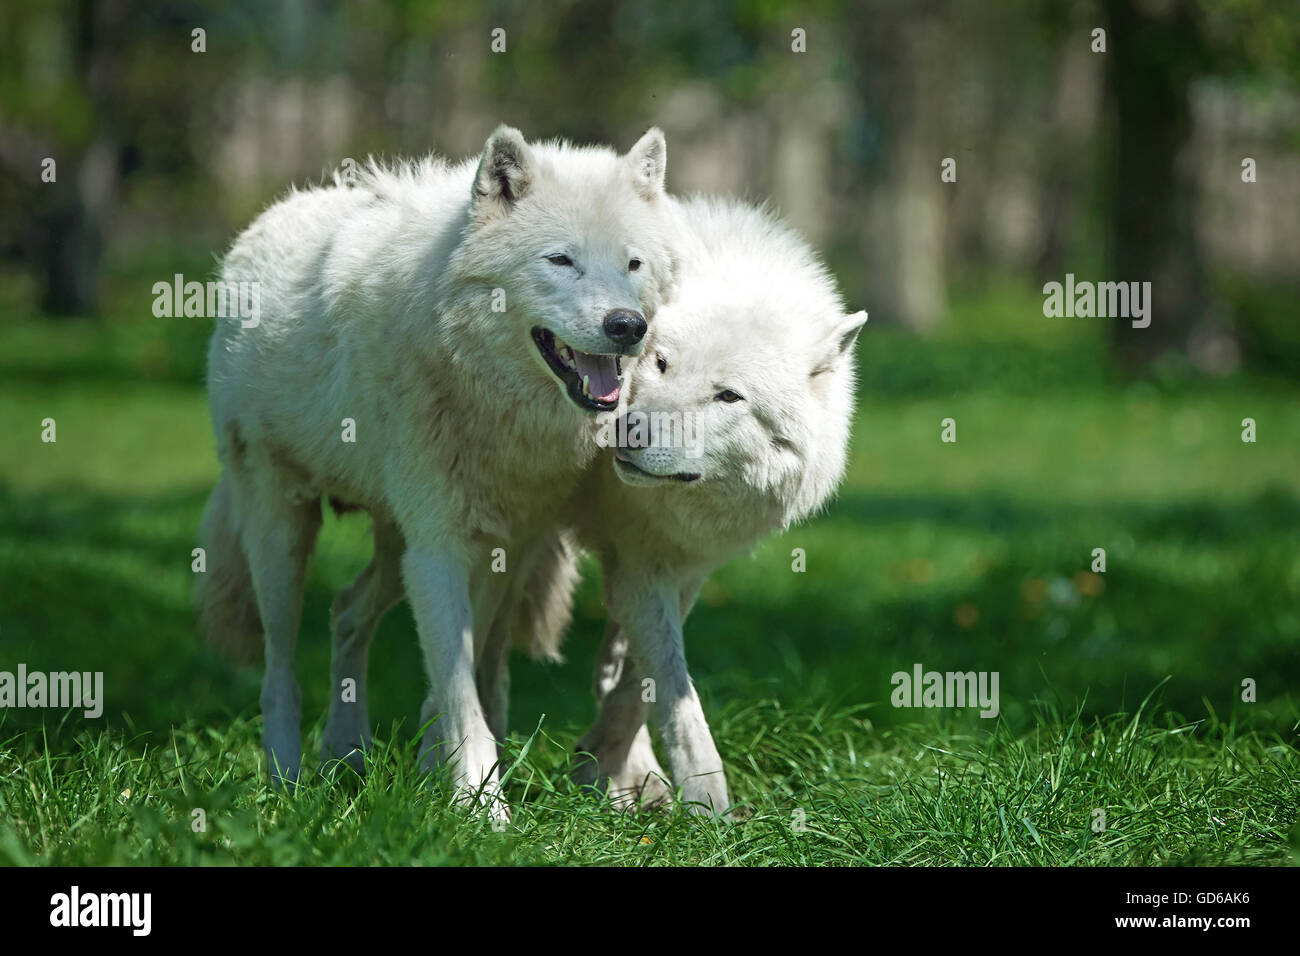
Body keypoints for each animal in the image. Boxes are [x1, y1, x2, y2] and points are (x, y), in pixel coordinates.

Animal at [196, 126, 679, 811]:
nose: (627, 325)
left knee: (346, 610)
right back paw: (287, 778)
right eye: (561, 261)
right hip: (284, 531)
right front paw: (483, 807)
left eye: (633, 264)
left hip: (397, 547)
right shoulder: (440, 548)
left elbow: (471, 676)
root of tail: (265, 220)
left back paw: (347, 754)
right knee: (279, 664)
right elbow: (459, 690)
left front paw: (452, 782)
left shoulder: (504, 545)